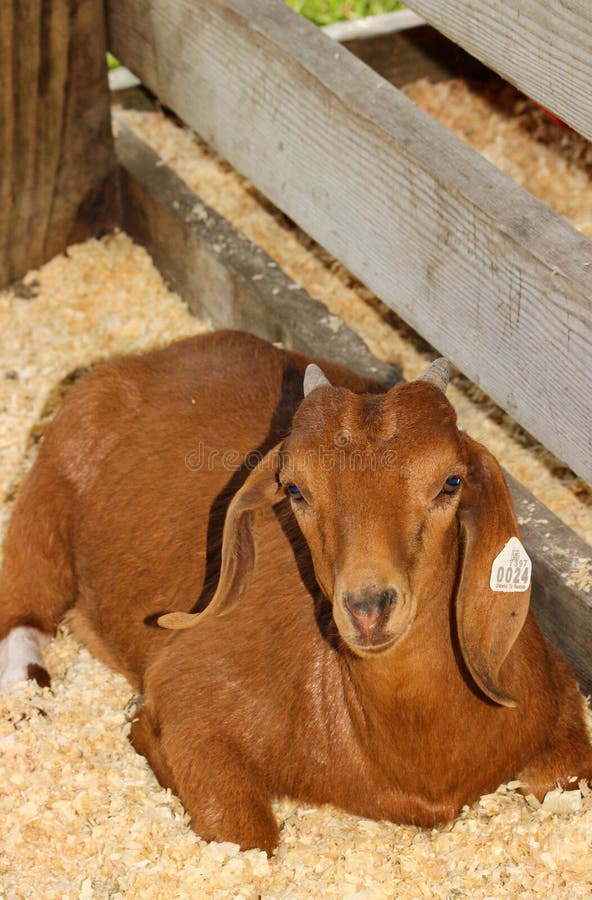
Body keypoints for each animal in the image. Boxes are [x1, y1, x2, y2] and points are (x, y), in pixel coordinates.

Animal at [1, 329, 591, 855]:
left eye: (451, 482)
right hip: (47, 490)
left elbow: (567, 783)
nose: (368, 608)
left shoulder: (560, 700)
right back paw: (27, 694)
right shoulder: (195, 687)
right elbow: (247, 836)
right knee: (23, 604)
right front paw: (148, 739)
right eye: (296, 490)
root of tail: (157, 356)